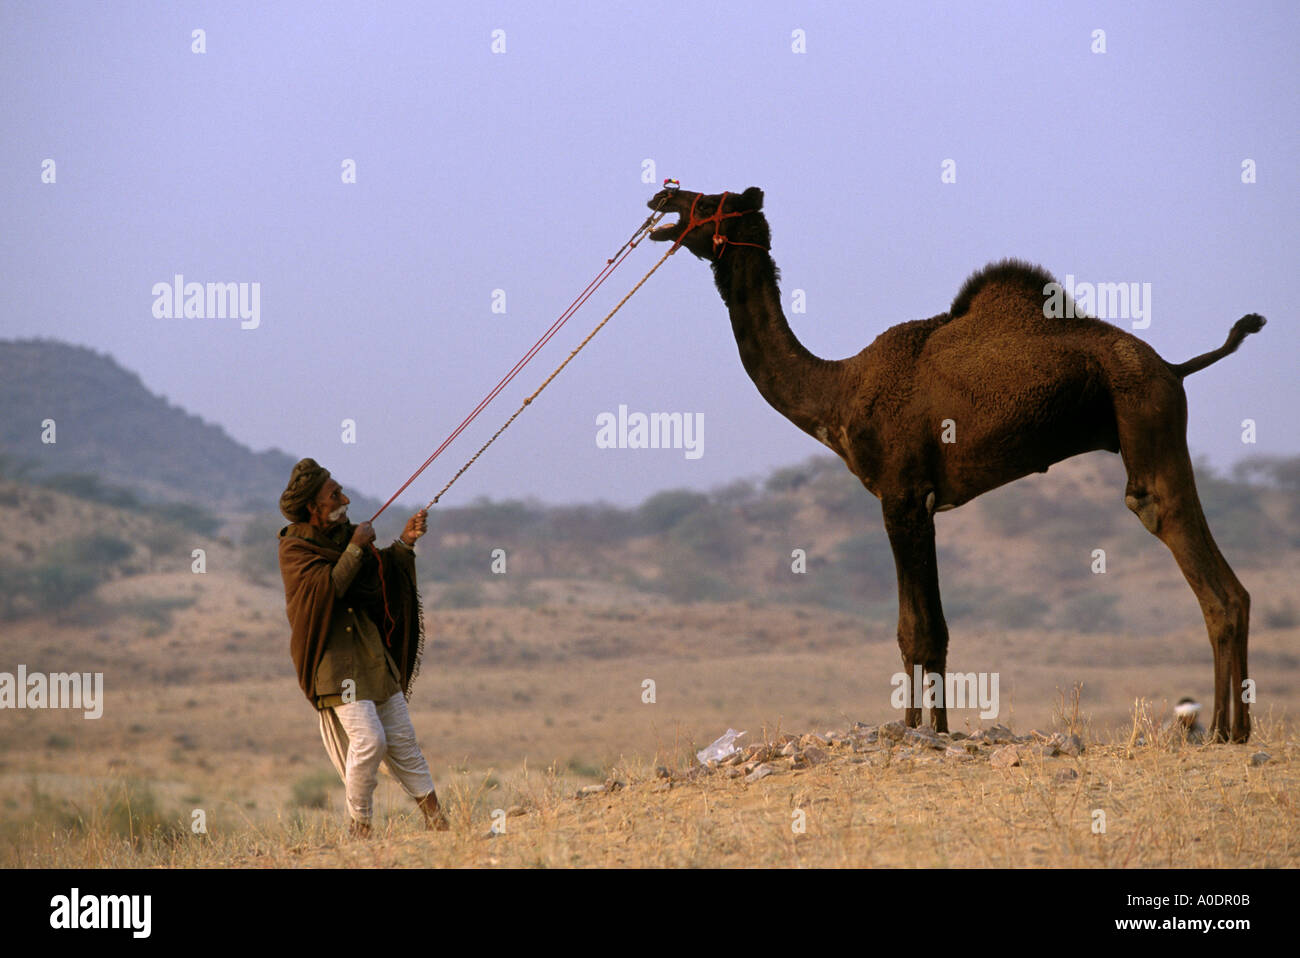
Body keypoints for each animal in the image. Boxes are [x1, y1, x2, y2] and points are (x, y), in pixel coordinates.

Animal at [647, 185, 1264, 743]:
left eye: (712, 202)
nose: (661, 200)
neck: (838, 392)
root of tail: (1176, 367)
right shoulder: (923, 501)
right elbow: (930, 629)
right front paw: (937, 729)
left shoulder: (900, 494)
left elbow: (916, 630)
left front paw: (915, 730)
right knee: (1231, 588)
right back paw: (1235, 730)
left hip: (1147, 415)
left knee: (1182, 543)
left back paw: (1220, 730)